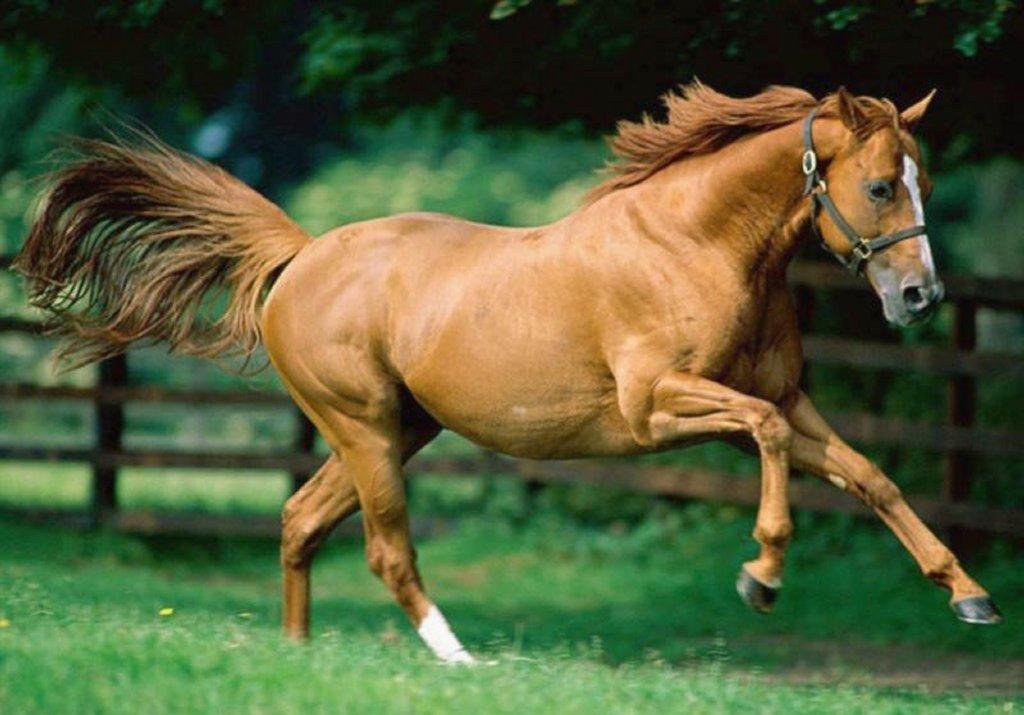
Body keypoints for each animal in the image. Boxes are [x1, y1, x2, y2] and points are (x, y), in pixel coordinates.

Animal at [14, 82, 1002, 664]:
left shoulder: (787, 398)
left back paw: (298, 654)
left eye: (922, 178)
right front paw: (760, 575)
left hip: (400, 428)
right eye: (880, 186)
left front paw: (971, 597)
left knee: (299, 519)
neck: (695, 244)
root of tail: (301, 256)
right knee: (385, 548)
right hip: (365, 428)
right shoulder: (660, 409)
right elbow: (766, 444)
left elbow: (872, 477)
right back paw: (459, 659)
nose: (920, 296)